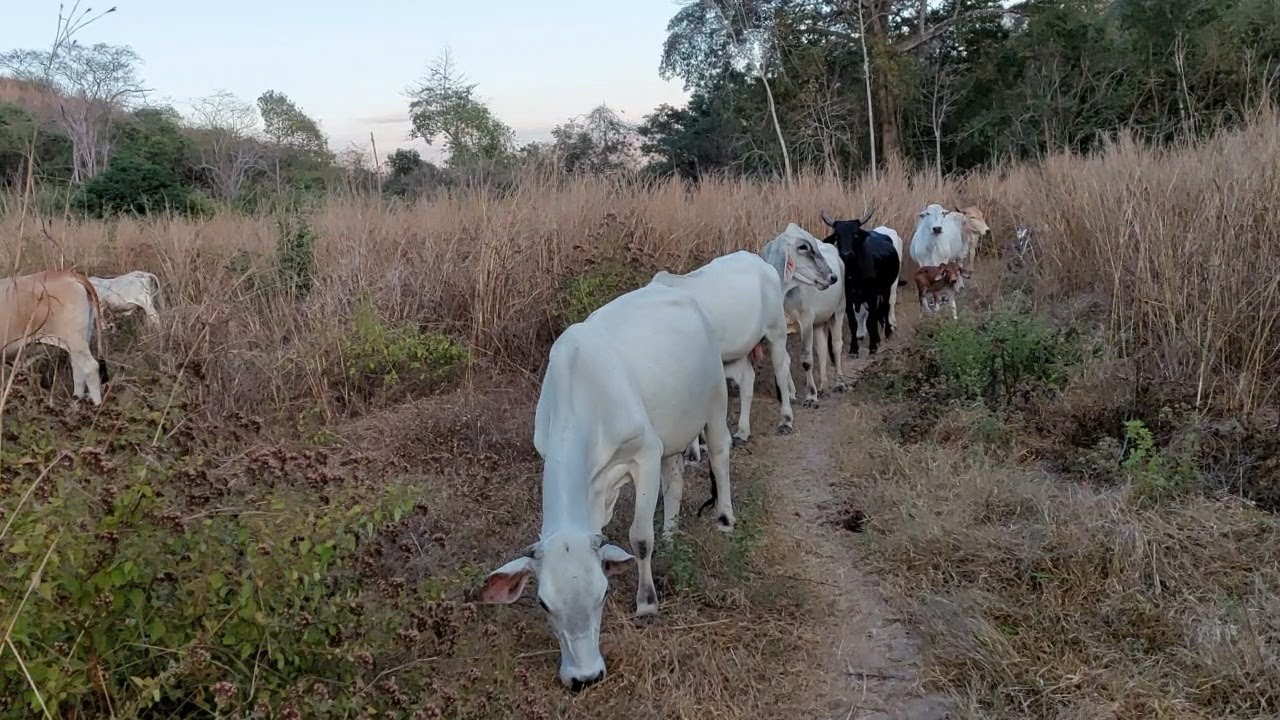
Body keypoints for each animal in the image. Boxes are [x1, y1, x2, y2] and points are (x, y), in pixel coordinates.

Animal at [2, 270, 109, 405]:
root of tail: (69, 275)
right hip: (77, 342)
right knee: (78, 370)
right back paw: (76, 399)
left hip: (75, 340)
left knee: (91, 368)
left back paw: (96, 404)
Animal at [476, 282, 736, 691]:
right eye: (543, 603)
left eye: (602, 594)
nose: (585, 677)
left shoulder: (645, 453)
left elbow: (639, 538)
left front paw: (646, 603)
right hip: (672, 434)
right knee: (675, 477)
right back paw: (671, 535)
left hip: (714, 400)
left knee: (721, 451)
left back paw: (725, 518)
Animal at [650, 245, 836, 445]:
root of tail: (765, 266)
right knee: (748, 379)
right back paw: (743, 431)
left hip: (776, 331)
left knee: (781, 370)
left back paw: (786, 420)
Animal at [761, 223, 848, 407]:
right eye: (803, 247)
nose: (832, 277)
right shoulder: (778, 329)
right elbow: (785, 360)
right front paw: (791, 394)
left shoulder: (806, 321)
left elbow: (807, 360)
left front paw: (810, 396)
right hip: (819, 323)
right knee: (822, 350)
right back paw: (823, 386)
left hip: (838, 310)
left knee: (836, 345)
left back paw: (839, 383)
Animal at [820, 209, 901, 357]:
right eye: (837, 236)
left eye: (855, 234)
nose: (846, 254)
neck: (854, 274)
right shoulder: (848, 299)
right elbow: (853, 322)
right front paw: (854, 348)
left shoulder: (871, 296)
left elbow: (870, 320)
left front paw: (873, 346)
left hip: (887, 287)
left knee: (886, 307)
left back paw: (887, 332)